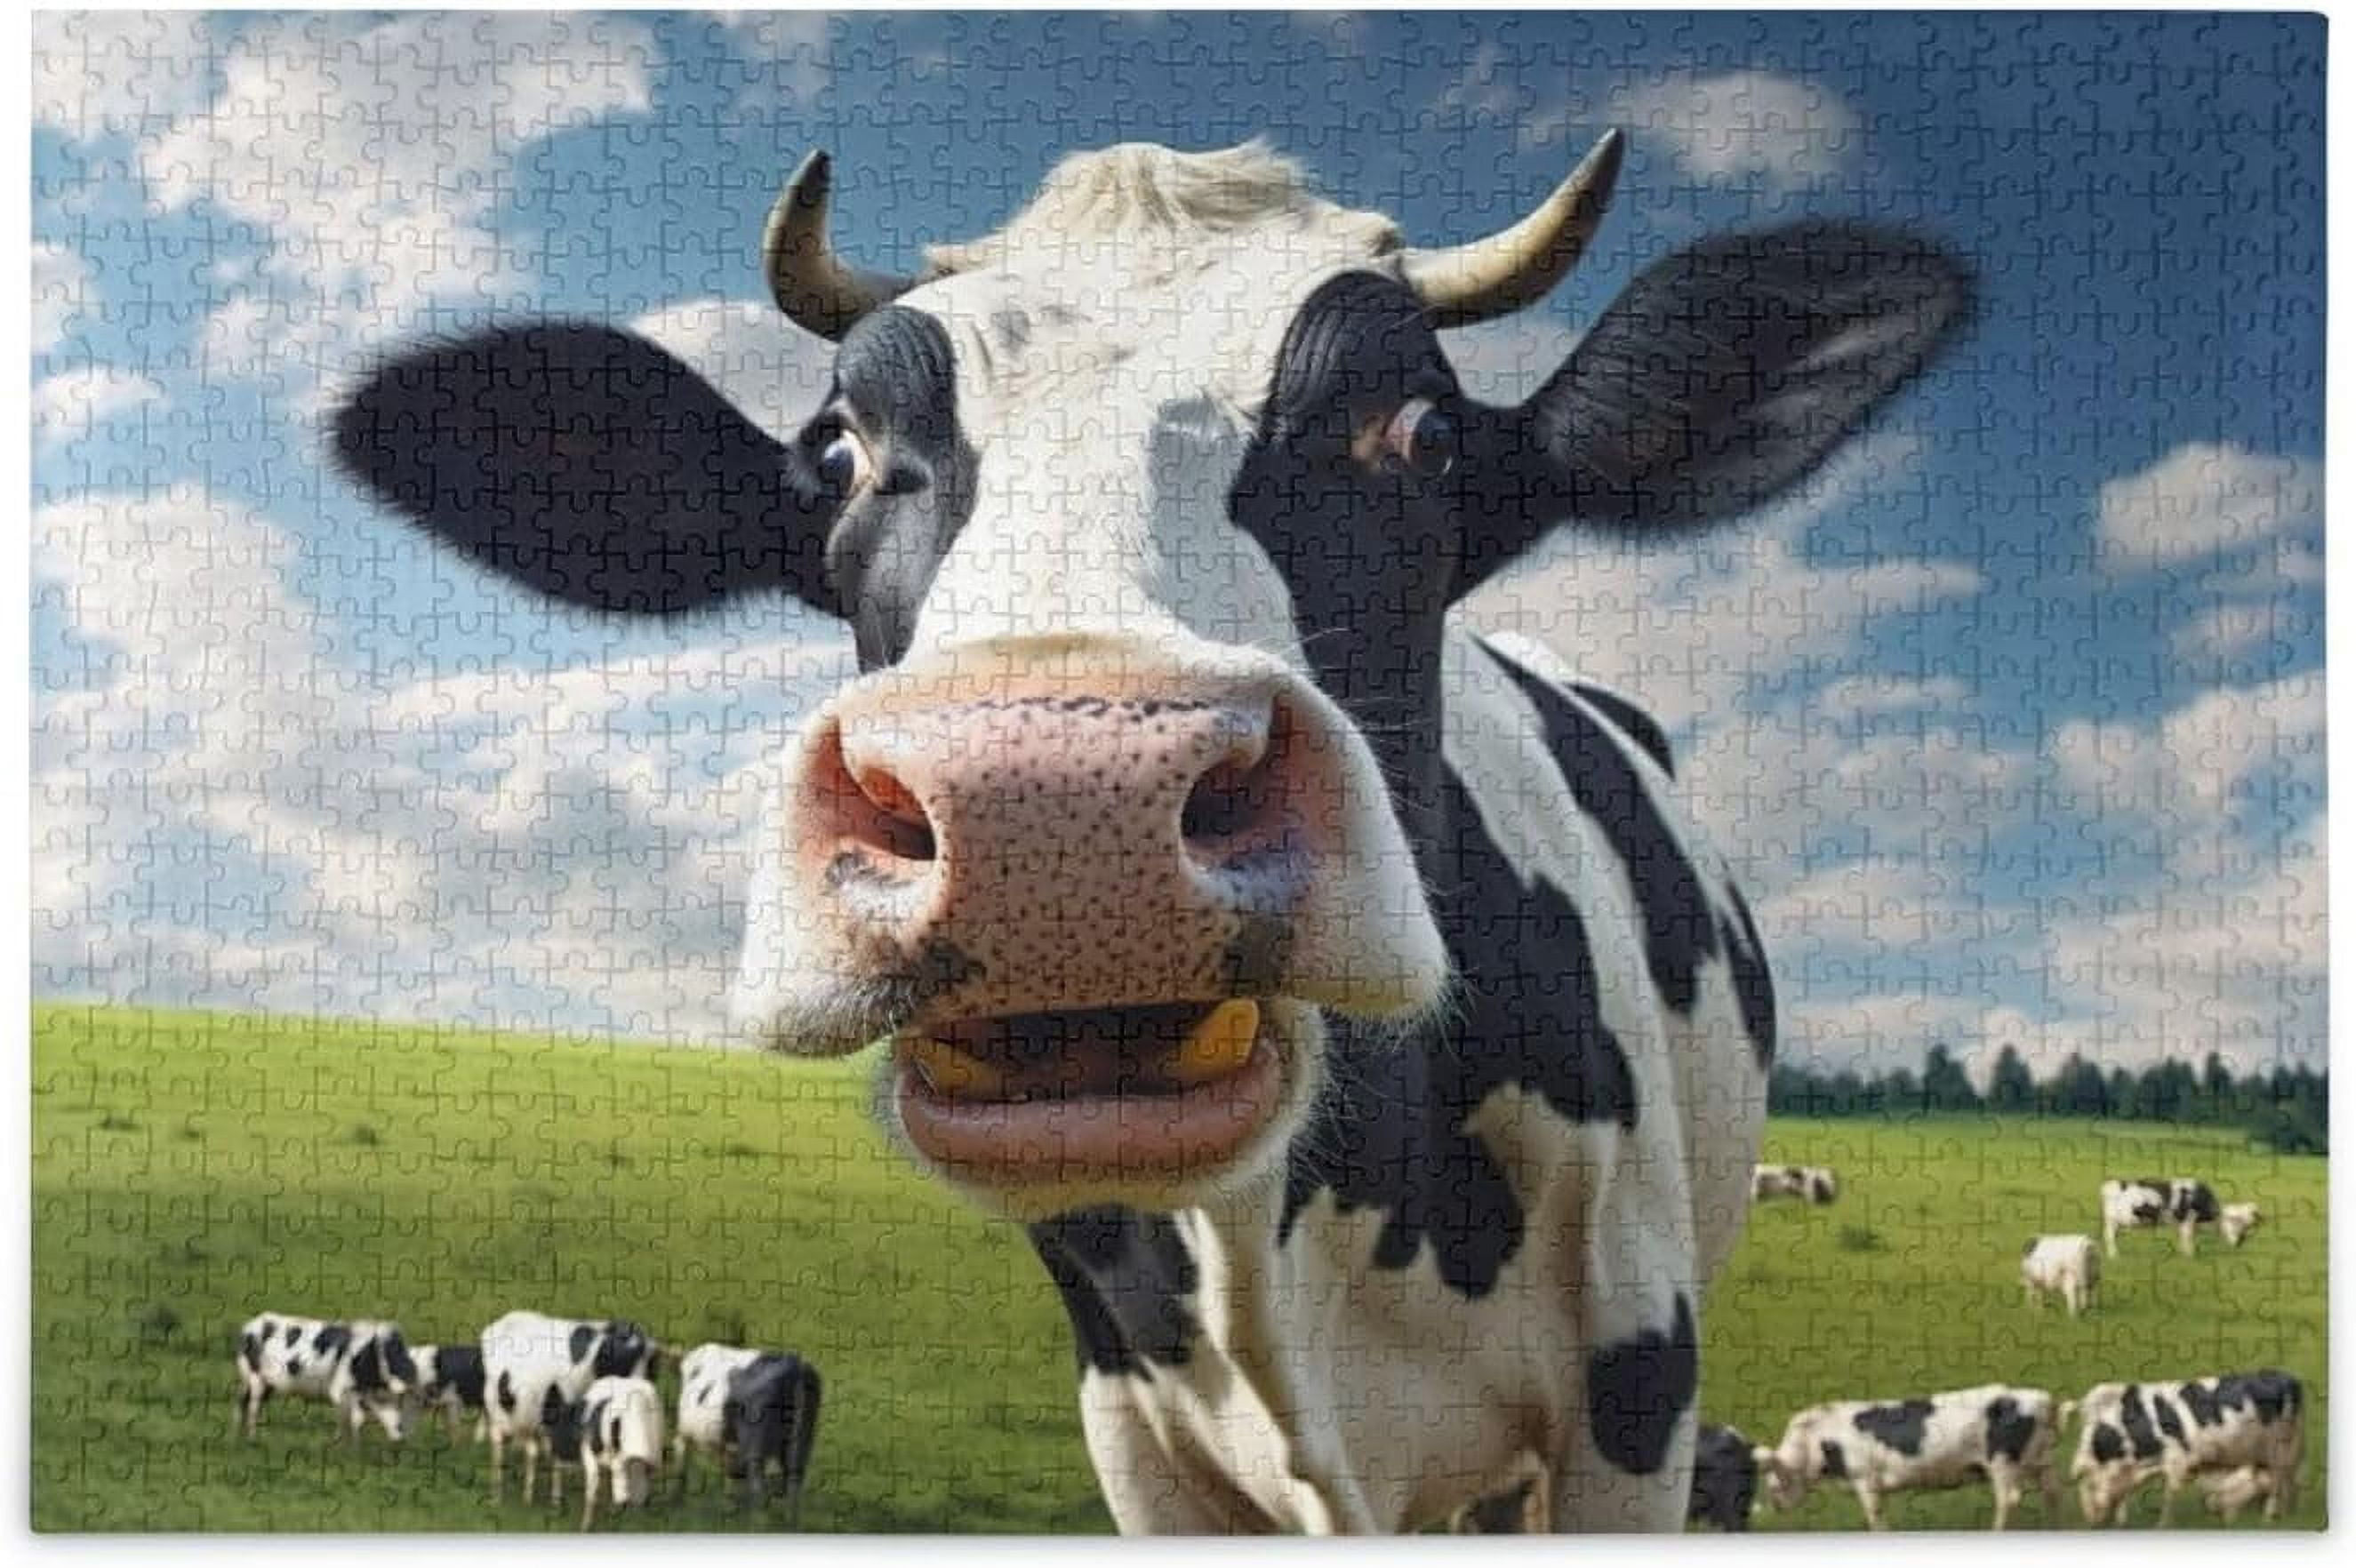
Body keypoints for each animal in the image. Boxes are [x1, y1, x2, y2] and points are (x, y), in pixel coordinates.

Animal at [234, 1313, 416, 1443]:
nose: (401, 1439)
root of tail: (250, 1326)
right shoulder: (341, 1390)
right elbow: (355, 1419)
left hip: (266, 1384)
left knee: (245, 1403)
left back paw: (241, 1436)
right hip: (255, 1378)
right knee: (252, 1406)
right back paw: (252, 1438)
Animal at [1753, 1386, 2065, 1530]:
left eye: (1774, 1485)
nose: (1775, 1507)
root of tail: (2037, 1397)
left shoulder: (1865, 1479)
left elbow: (1875, 1518)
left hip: (2003, 1463)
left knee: (2008, 1499)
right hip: (2042, 1459)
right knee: (2051, 1492)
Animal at [2071, 1371, 2304, 1526]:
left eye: (2089, 1480)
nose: (2091, 1520)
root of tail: (2285, 1376)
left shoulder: (2177, 1461)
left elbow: (2169, 1494)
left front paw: (2163, 1524)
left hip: (2280, 1448)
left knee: (2279, 1479)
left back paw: (2269, 1514)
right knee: (2284, 1480)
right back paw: (2283, 1512)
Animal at [2099, 1176, 2219, 1257]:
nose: (2216, 1213)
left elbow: (2183, 1236)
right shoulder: (2186, 1219)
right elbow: (2187, 1236)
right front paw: (2189, 1255)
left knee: (2111, 1236)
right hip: (2115, 1219)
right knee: (2109, 1235)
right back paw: (2114, 1256)